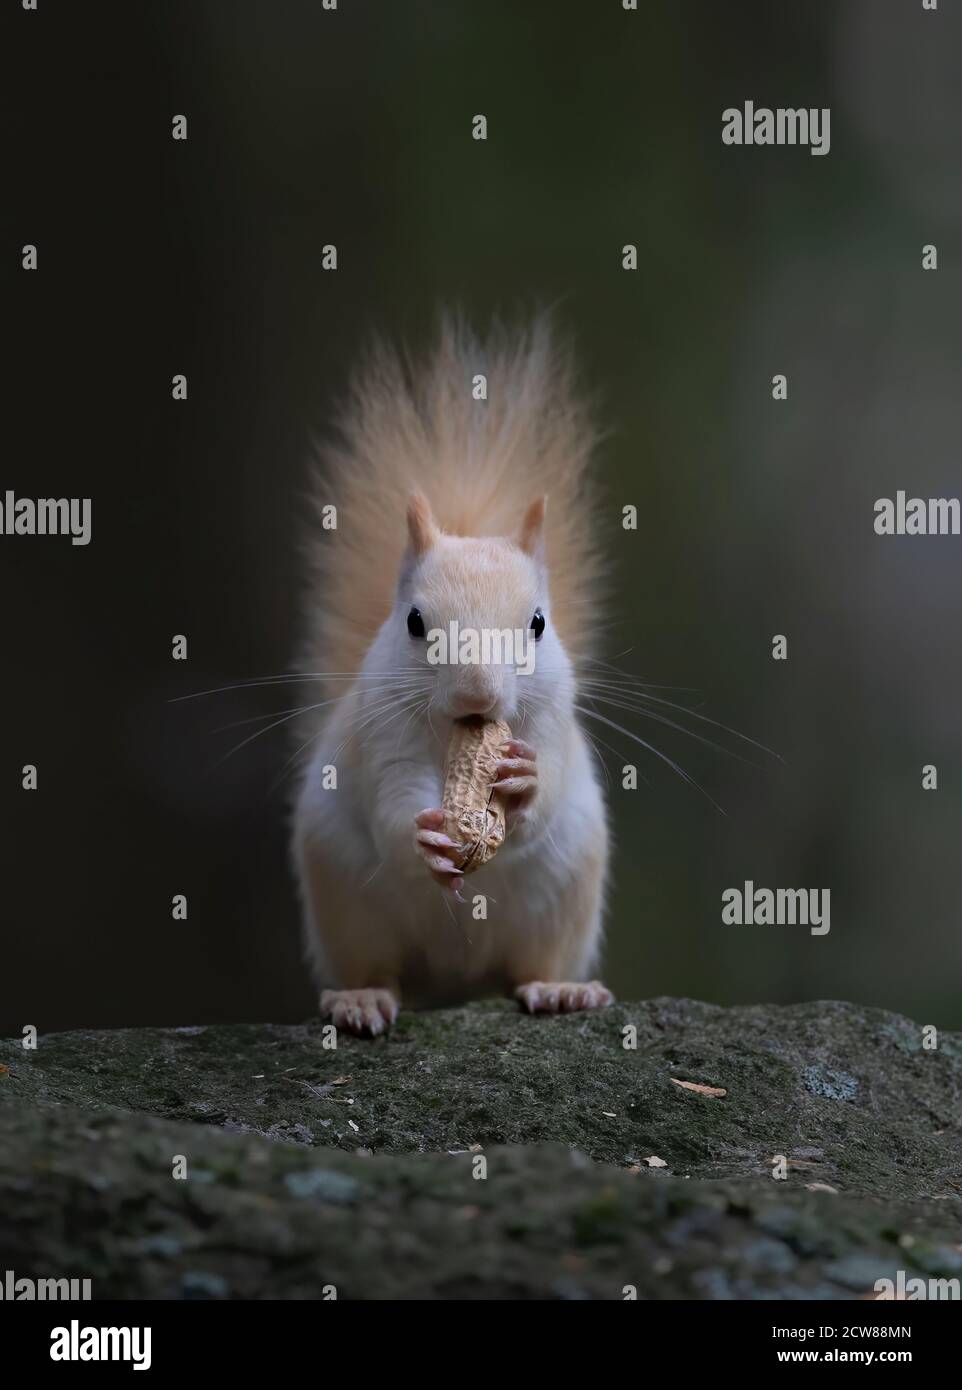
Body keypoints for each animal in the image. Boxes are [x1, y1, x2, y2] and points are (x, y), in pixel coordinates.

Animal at [292, 315, 613, 1036]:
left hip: (565, 896)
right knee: (376, 970)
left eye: (539, 623)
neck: (460, 740)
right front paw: (427, 837)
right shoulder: (381, 735)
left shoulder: (552, 720)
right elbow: (390, 807)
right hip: (346, 902)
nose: (478, 694)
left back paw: (559, 990)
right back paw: (360, 1000)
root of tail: (454, 982)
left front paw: (522, 781)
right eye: (415, 622)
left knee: (529, 969)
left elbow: (545, 790)